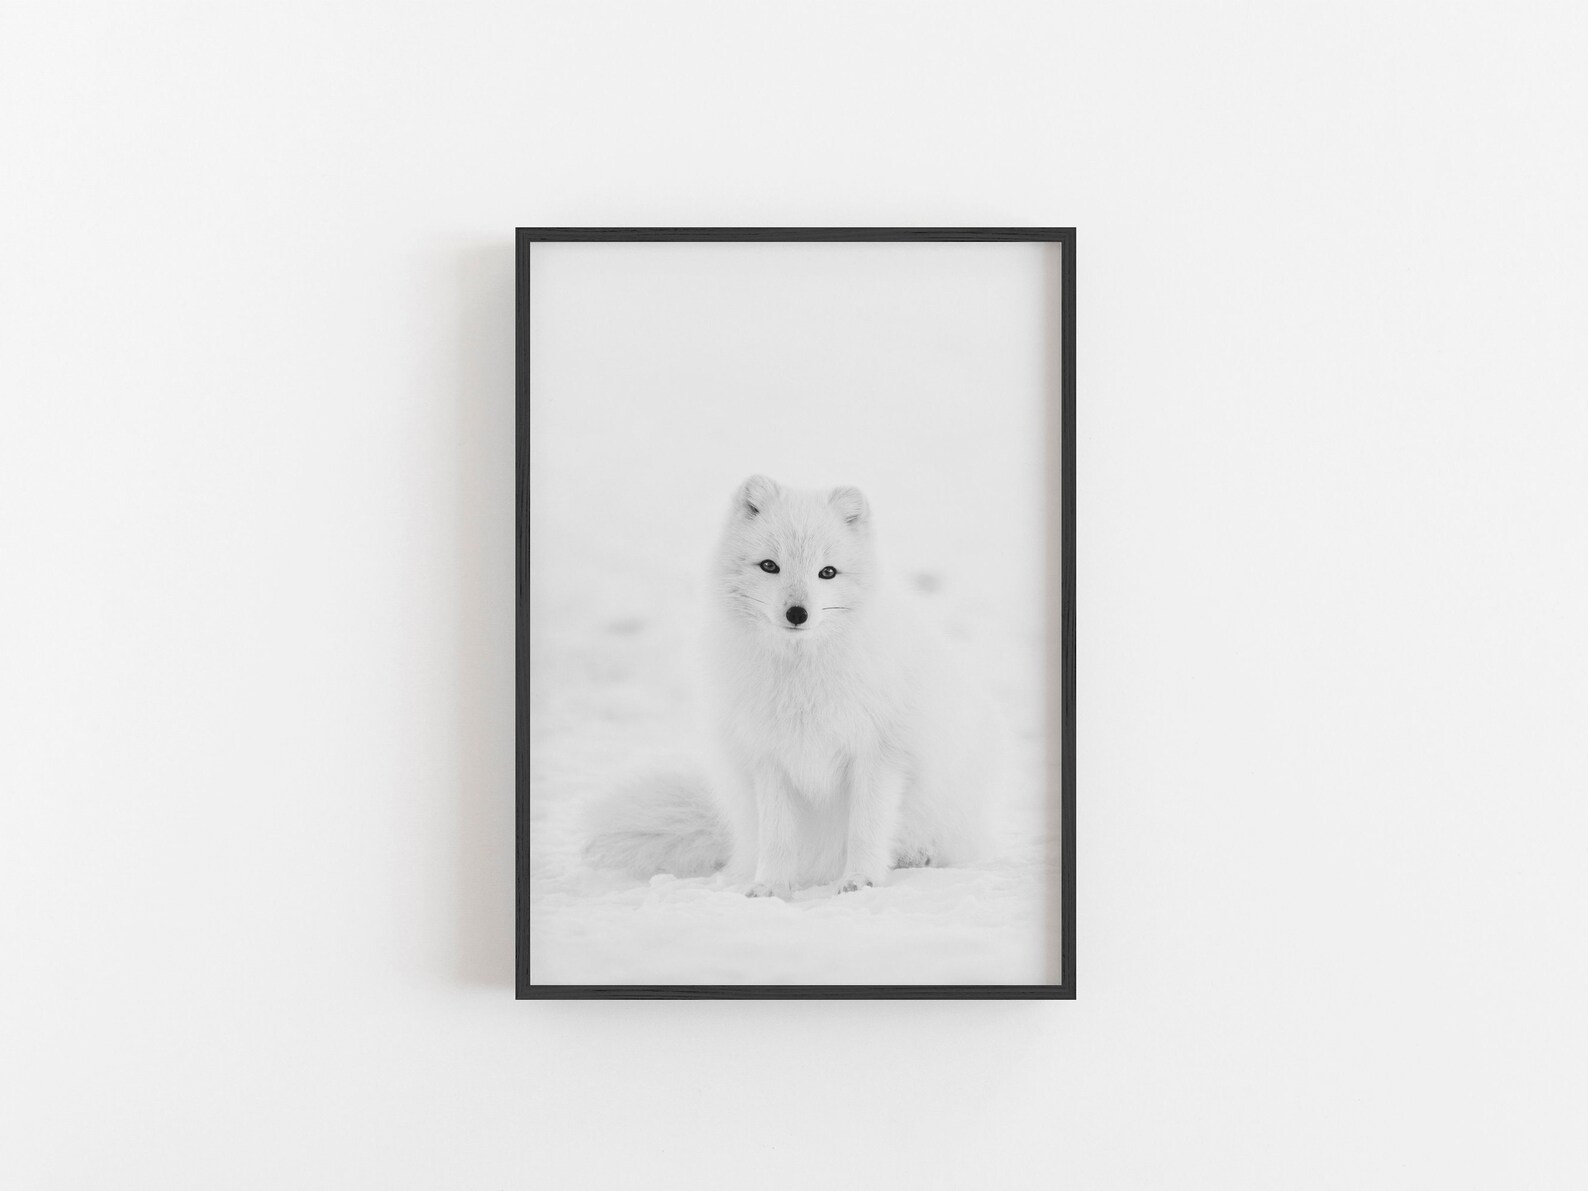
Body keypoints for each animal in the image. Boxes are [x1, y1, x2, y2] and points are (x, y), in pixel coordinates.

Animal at [583, 475, 999, 898]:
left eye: (827, 572)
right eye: (770, 566)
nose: (797, 613)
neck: (801, 679)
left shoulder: (878, 753)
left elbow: (866, 829)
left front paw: (860, 880)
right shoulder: (769, 759)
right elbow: (778, 836)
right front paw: (771, 886)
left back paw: (917, 856)